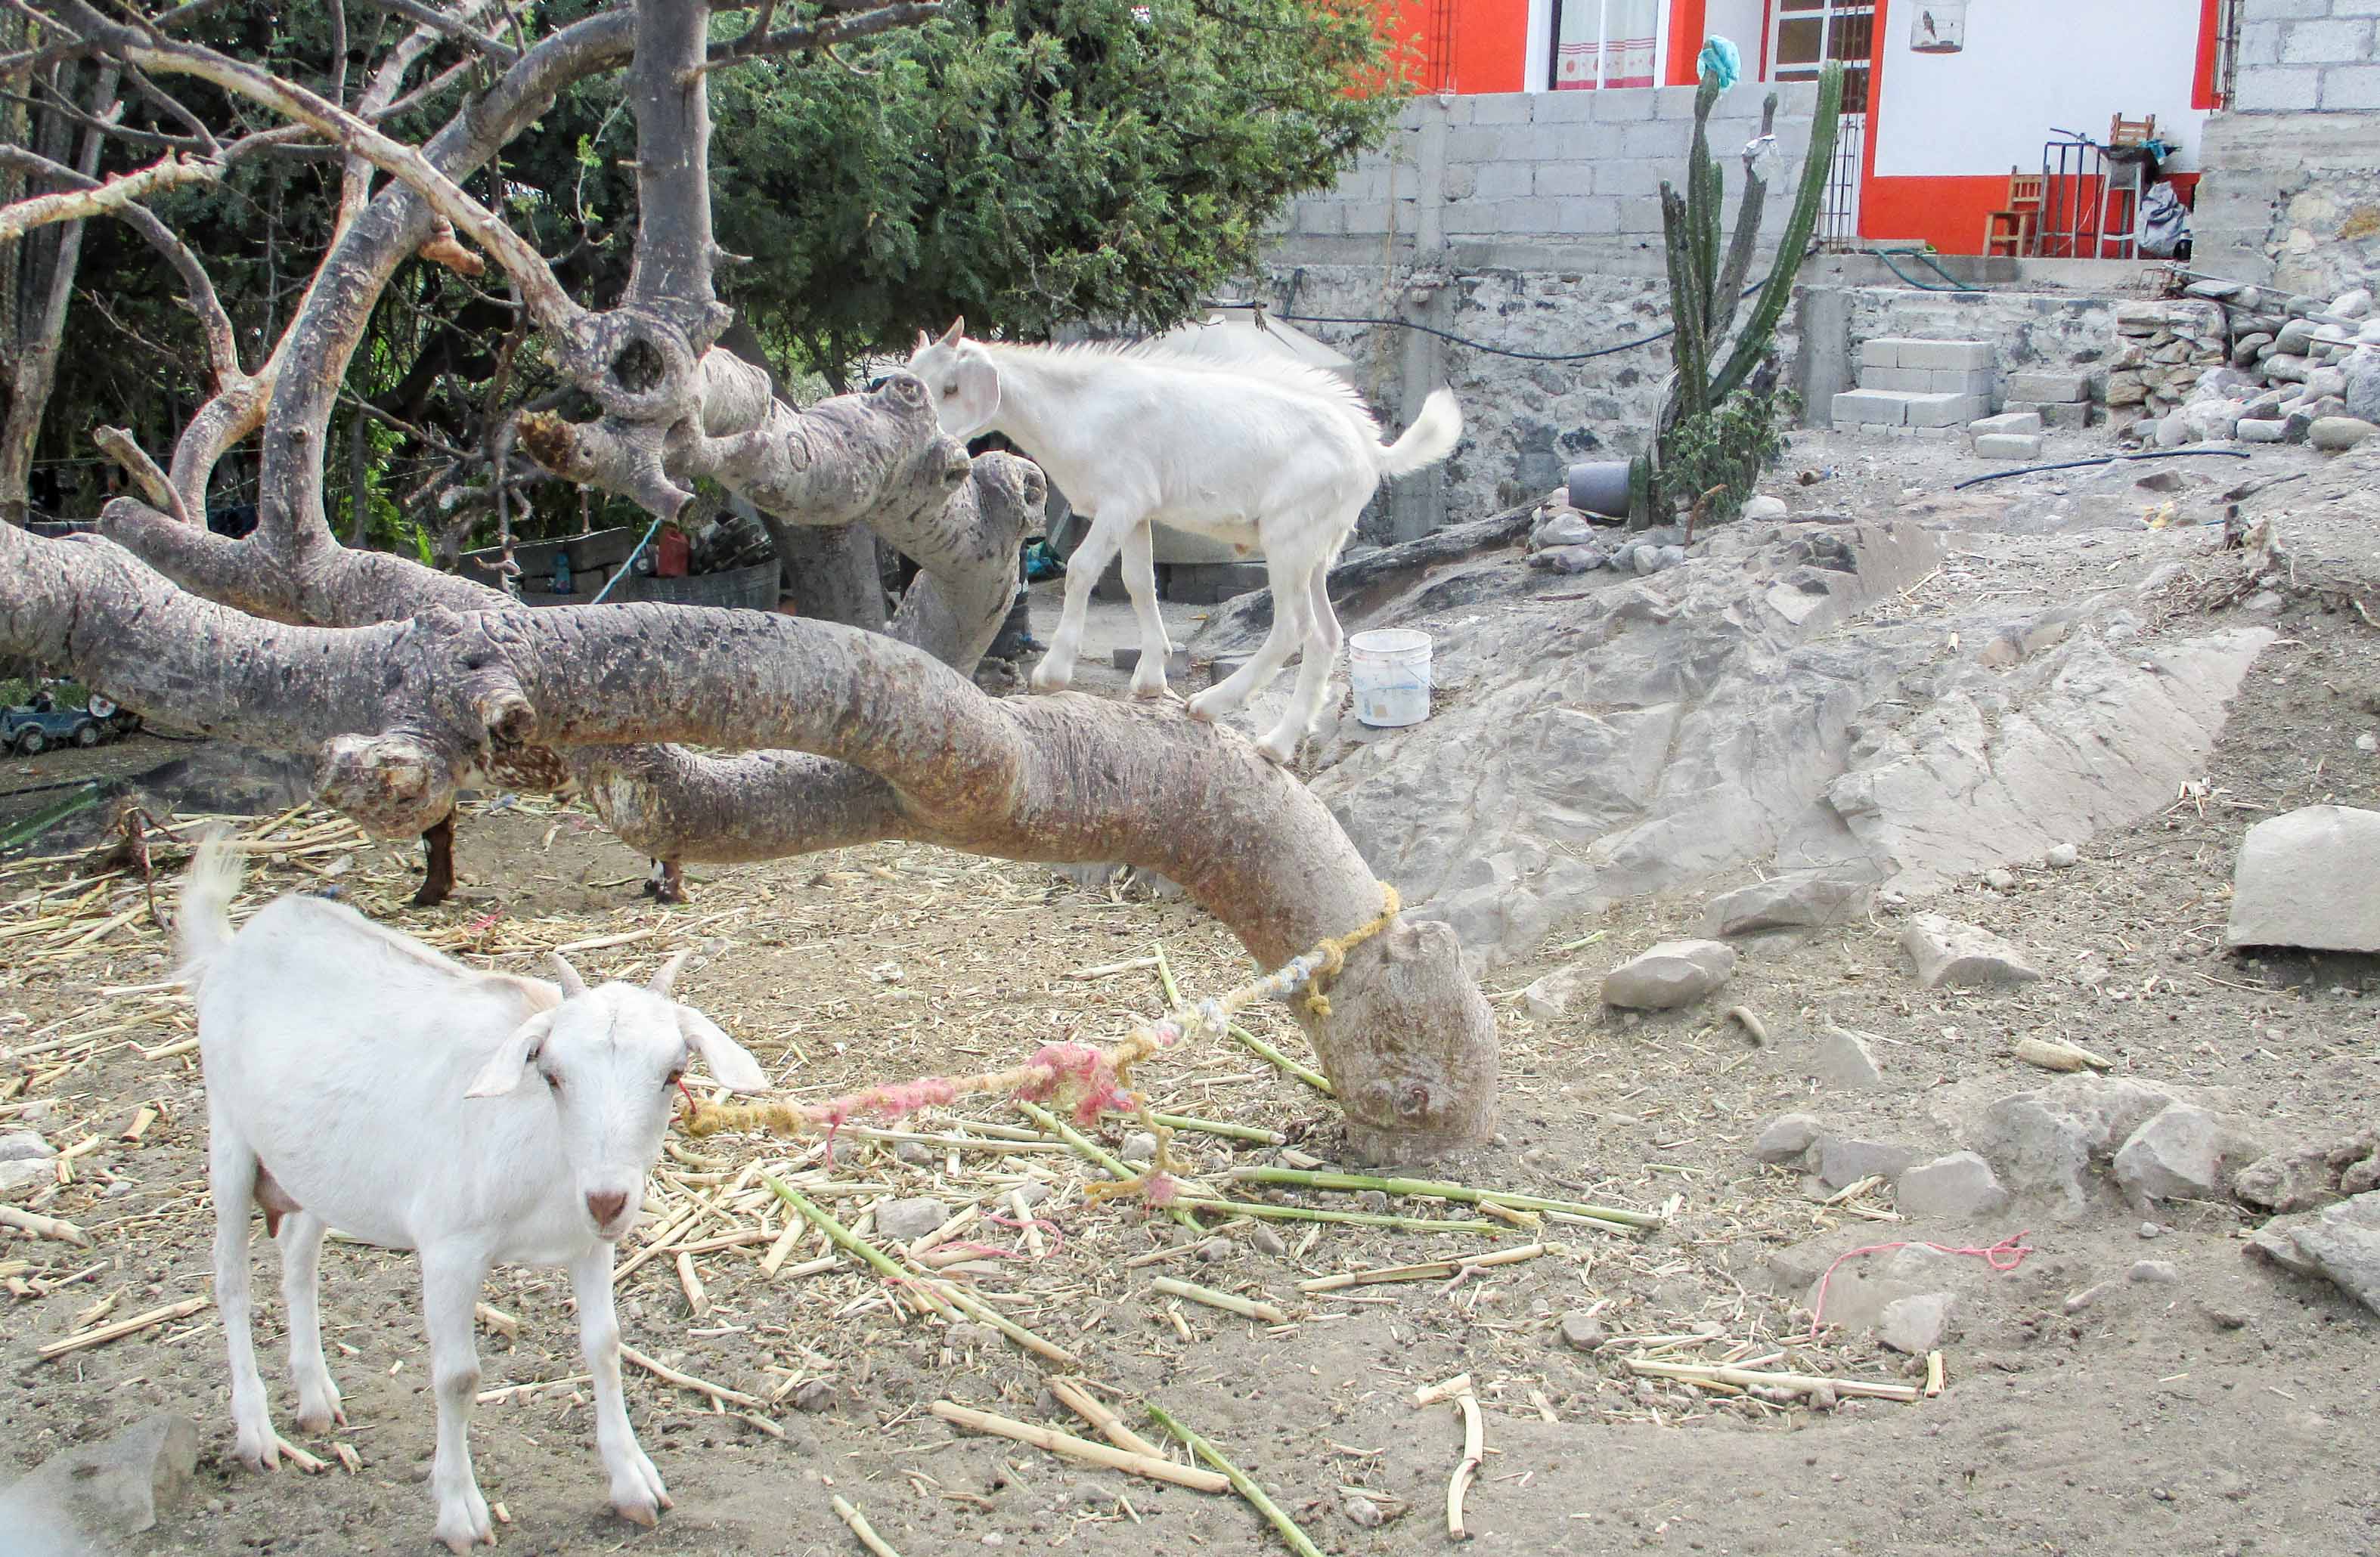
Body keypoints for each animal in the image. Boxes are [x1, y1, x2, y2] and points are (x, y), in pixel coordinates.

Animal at [179, 836, 768, 1553]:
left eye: (674, 1071)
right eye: (552, 1074)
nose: (608, 1199)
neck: (545, 1155)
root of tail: (239, 942)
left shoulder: (587, 1243)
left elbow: (604, 1345)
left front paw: (634, 1483)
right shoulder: (449, 1248)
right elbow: (459, 1378)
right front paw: (460, 1510)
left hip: (316, 1164)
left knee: (297, 1253)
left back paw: (317, 1398)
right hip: (230, 1137)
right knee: (231, 1282)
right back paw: (257, 1433)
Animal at [906, 319, 1462, 763]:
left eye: (951, 386)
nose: (929, 442)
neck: (1078, 408)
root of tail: (1372, 451)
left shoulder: (1120, 501)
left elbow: (1082, 569)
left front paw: (1053, 673)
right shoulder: (1136, 512)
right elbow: (1138, 582)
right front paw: (1151, 680)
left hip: (1288, 537)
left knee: (1293, 626)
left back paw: (1210, 705)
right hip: (1317, 550)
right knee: (1326, 634)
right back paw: (1277, 745)